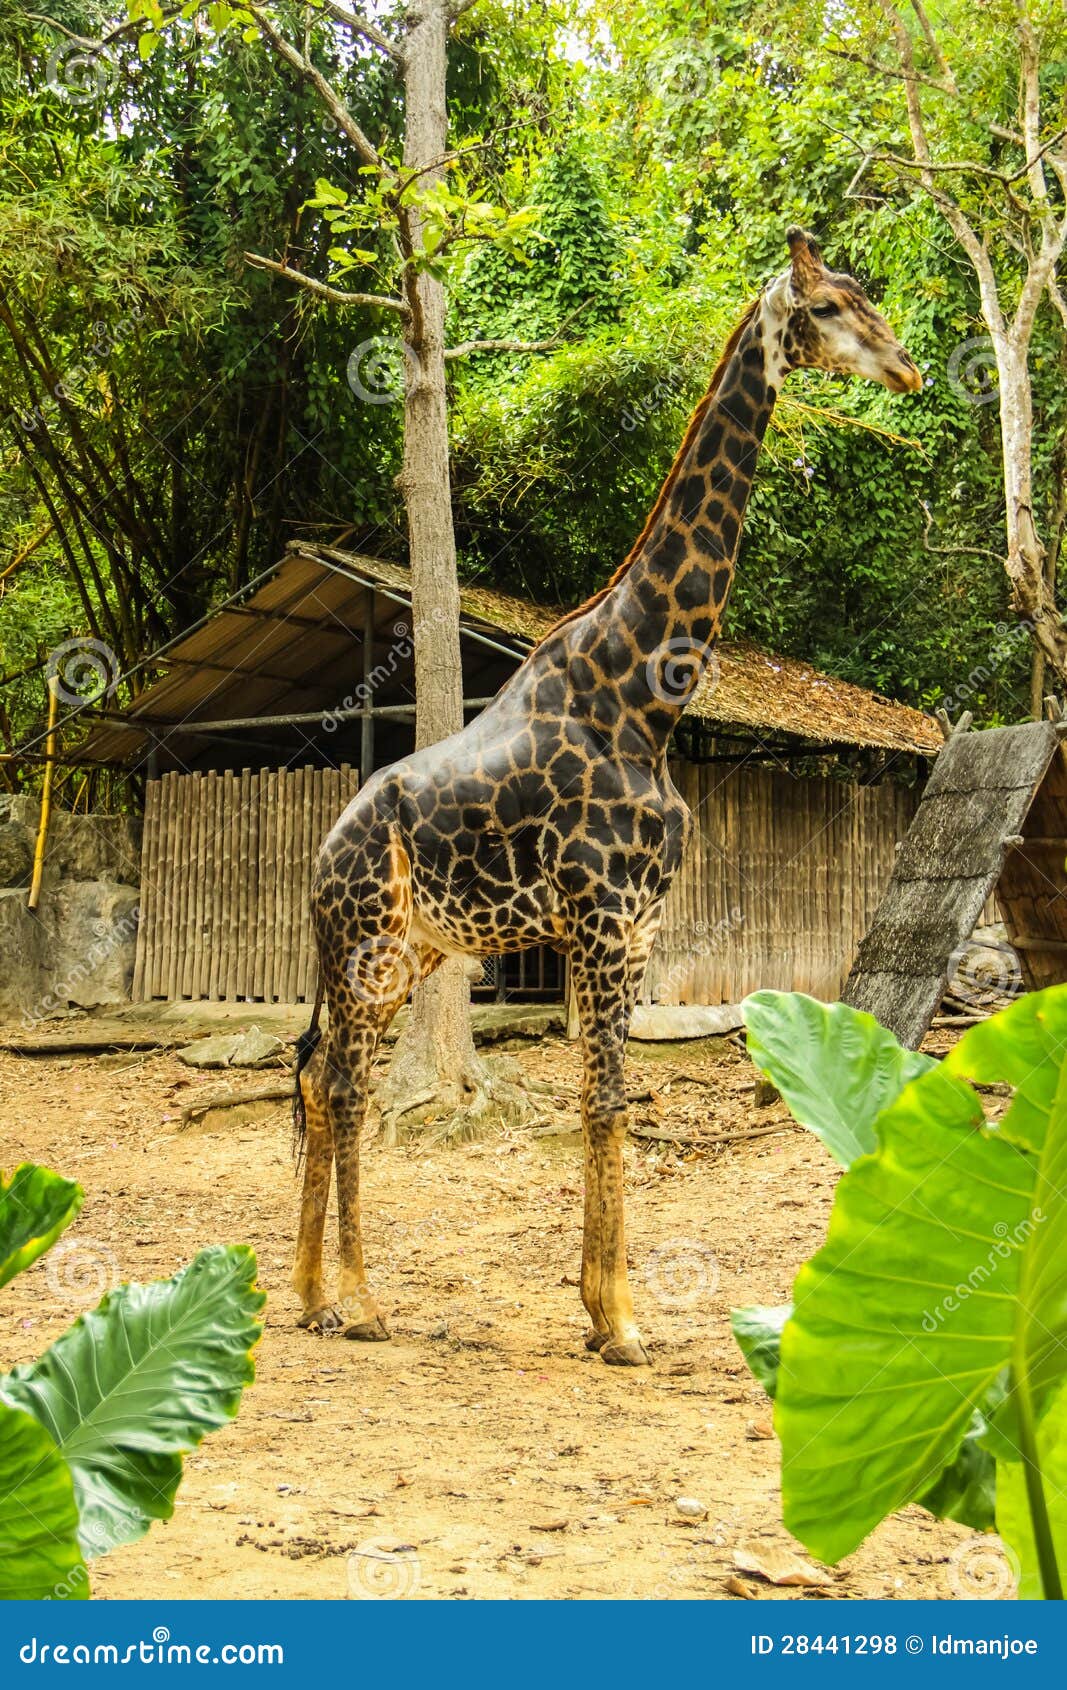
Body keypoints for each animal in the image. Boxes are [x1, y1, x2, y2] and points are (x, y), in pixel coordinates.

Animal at [292, 227, 922, 1365]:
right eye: (832, 306)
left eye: (866, 298)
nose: (907, 371)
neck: (646, 697)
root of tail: (320, 854)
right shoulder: (600, 913)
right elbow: (604, 1102)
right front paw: (620, 1320)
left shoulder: (638, 922)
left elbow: (610, 1099)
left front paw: (599, 1312)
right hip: (369, 945)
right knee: (348, 1086)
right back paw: (359, 1303)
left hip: (405, 951)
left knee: (320, 1079)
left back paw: (312, 1296)